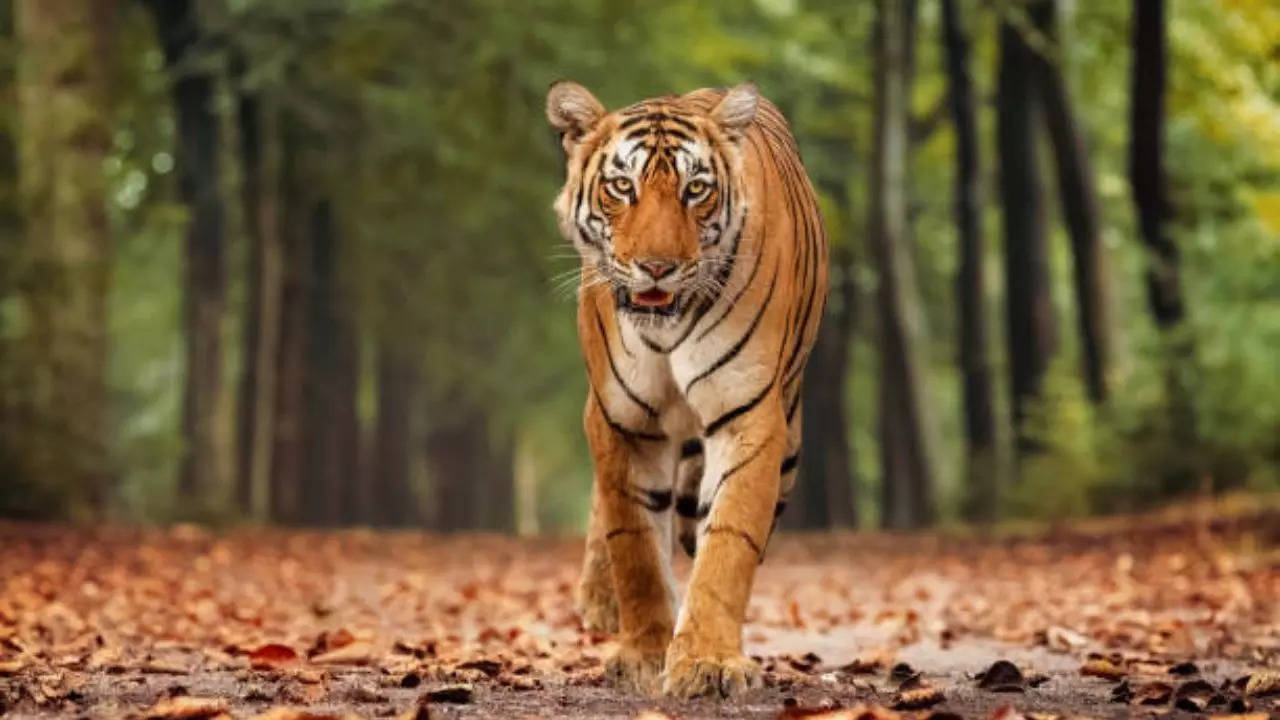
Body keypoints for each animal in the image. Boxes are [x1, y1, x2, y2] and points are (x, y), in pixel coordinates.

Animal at [546, 81, 828, 699]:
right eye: (621, 186)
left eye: (695, 189)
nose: (657, 267)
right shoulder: (619, 419)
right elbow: (634, 545)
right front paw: (645, 653)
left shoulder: (748, 415)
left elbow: (728, 542)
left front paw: (708, 660)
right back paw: (599, 603)